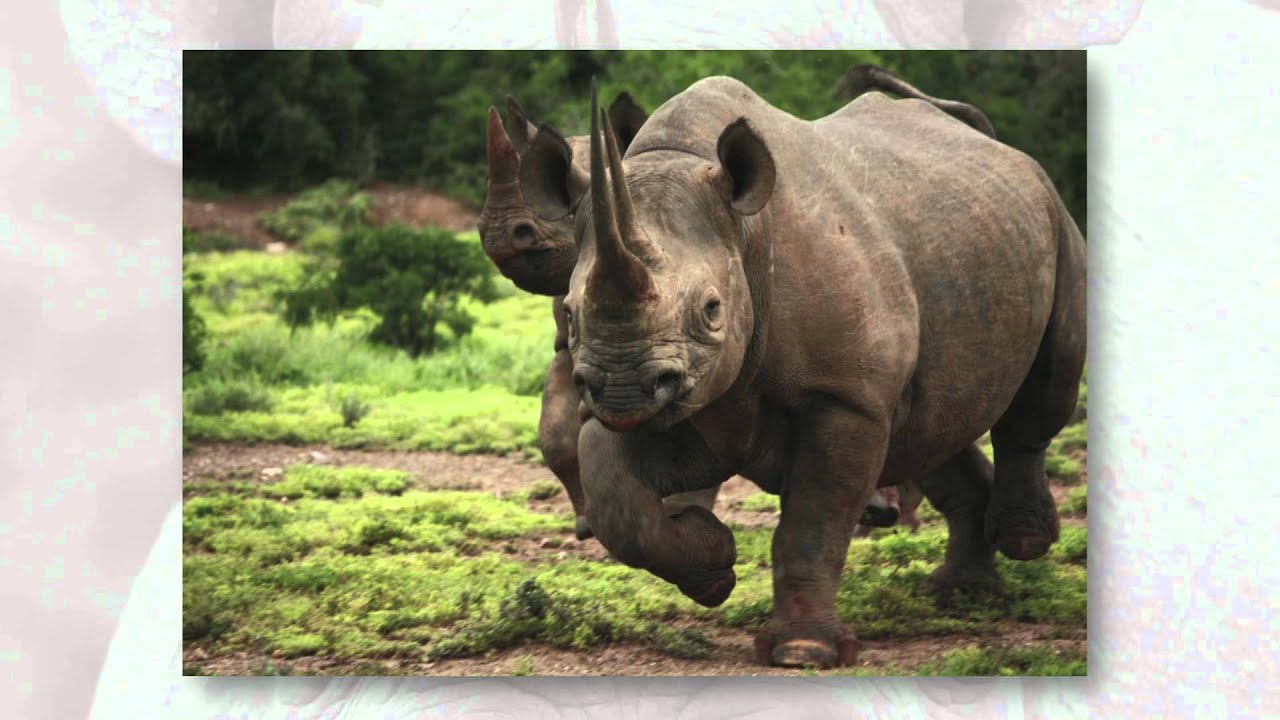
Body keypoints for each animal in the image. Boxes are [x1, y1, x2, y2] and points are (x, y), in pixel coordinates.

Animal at [518, 76, 1086, 668]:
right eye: (569, 315)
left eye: (712, 309)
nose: (624, 387)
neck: (746, 233)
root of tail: (1002, 148)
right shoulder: (677, 400)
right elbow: (616, 501)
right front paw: (713, 566)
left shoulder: (843, 397)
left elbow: (815, 520)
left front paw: (804, 652)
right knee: (929, 430)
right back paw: (960, 593)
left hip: (1053, 219)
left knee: (1045, 387)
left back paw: (1023, 542)